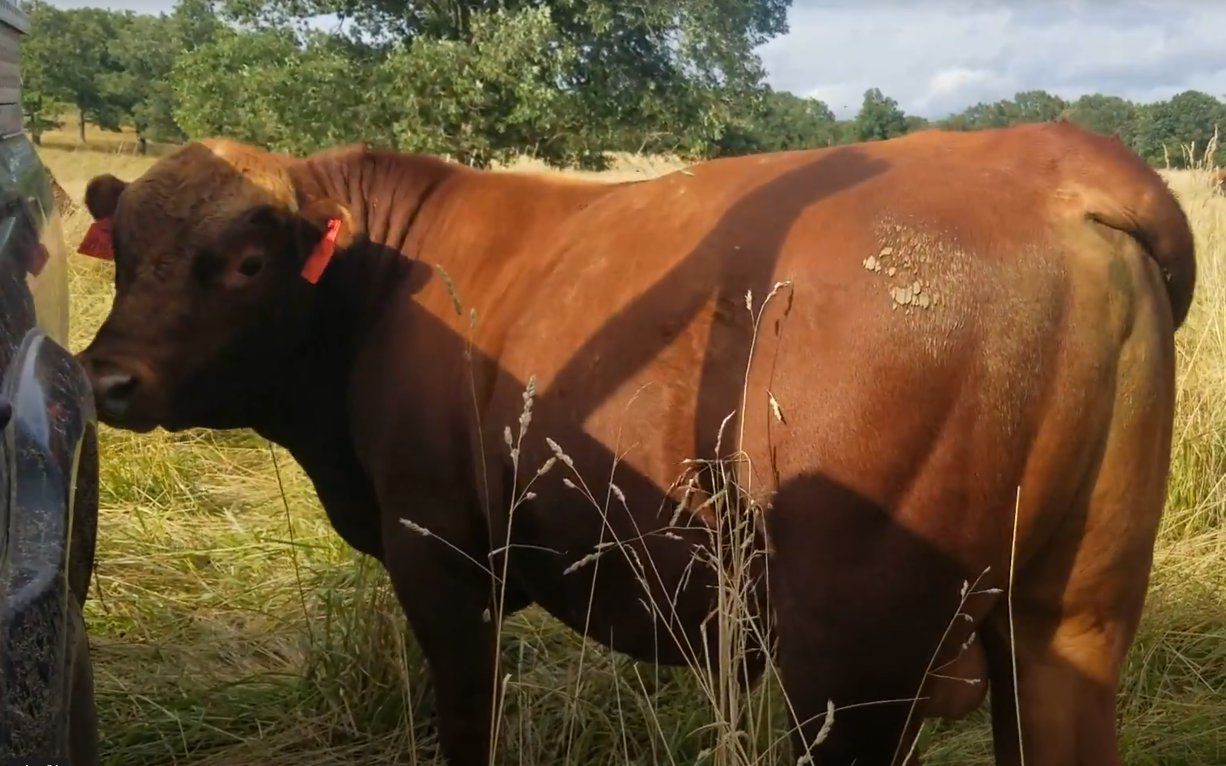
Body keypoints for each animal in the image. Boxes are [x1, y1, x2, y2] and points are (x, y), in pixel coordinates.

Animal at [73, 119, 1195, 766]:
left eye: (248, 260)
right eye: (123, 253)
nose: (106, 378)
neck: (383, 285)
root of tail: (1048, 163)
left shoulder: (438, 551)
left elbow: (467, 715)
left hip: (854, 656)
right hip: (1070, 623)